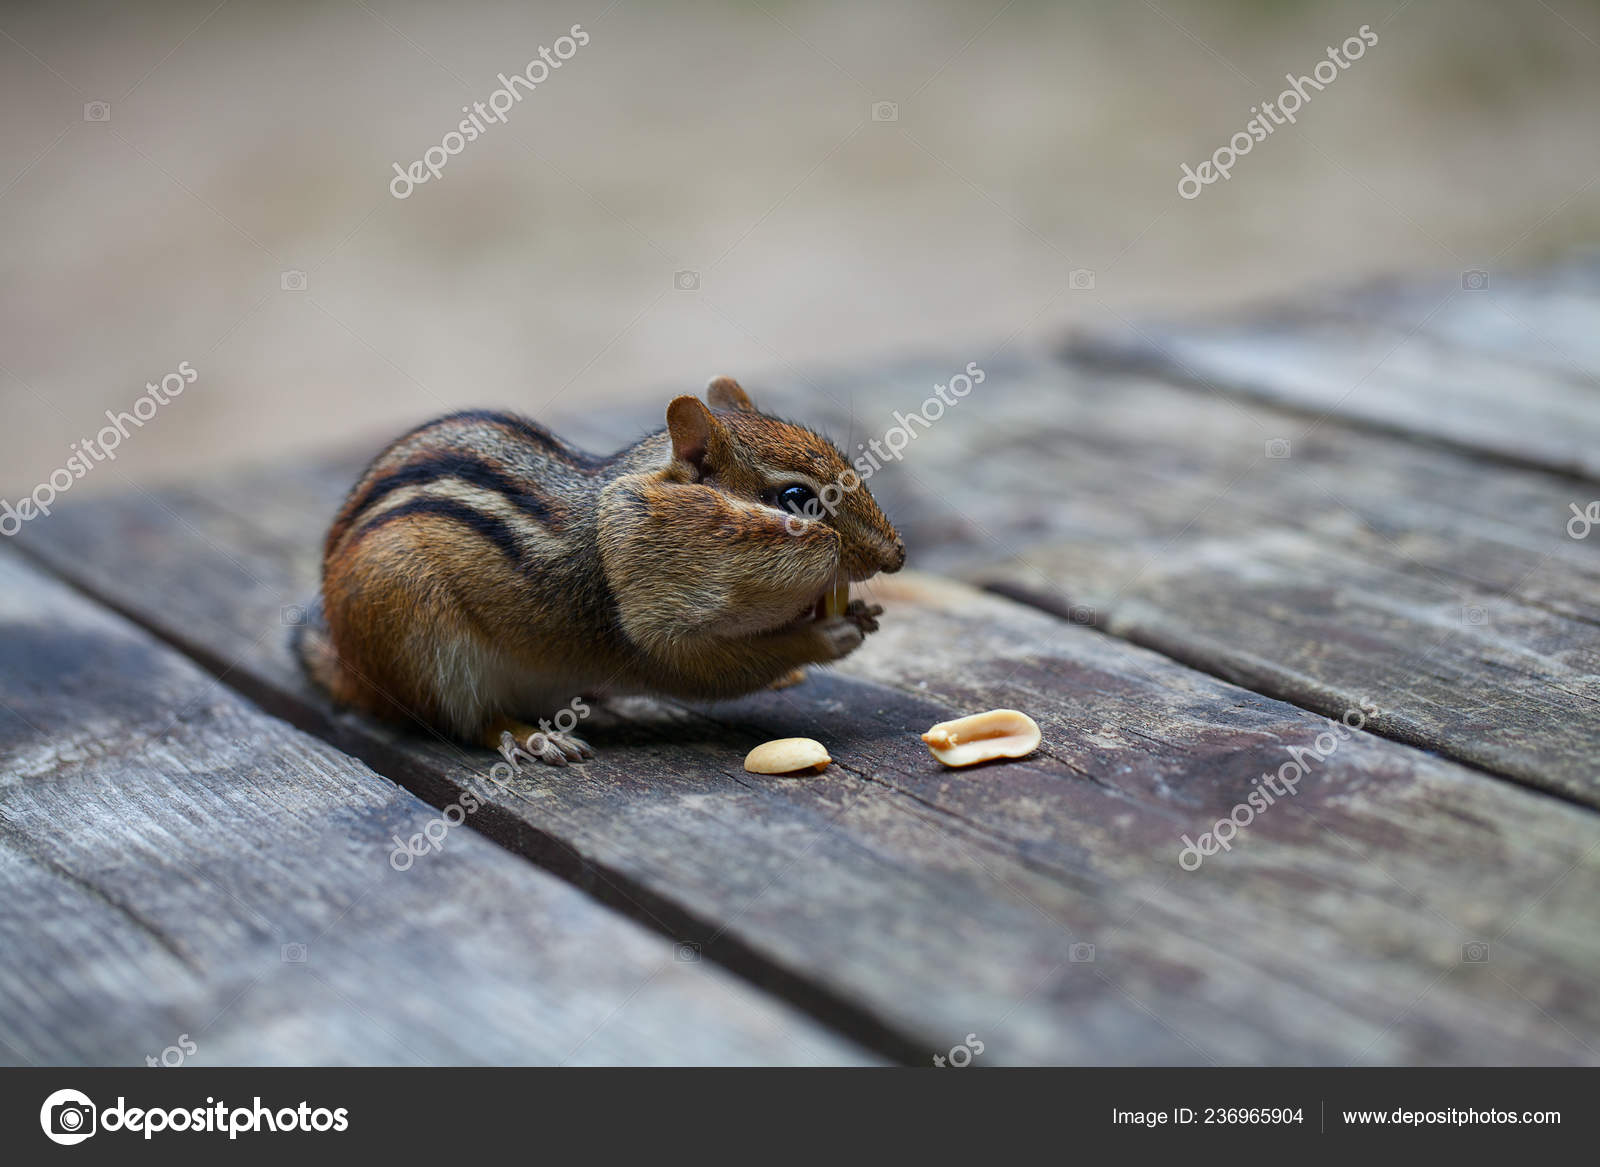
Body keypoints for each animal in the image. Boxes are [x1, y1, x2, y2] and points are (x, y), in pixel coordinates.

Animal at [293, 376, 905, 766]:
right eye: (798, 499)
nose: (895, 557)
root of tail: (353, 670)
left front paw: (857, 612)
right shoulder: (650, 628)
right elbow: (713, 669)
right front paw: (827, 635)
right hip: (424, 645)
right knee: (466, 722)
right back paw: (532, 738)